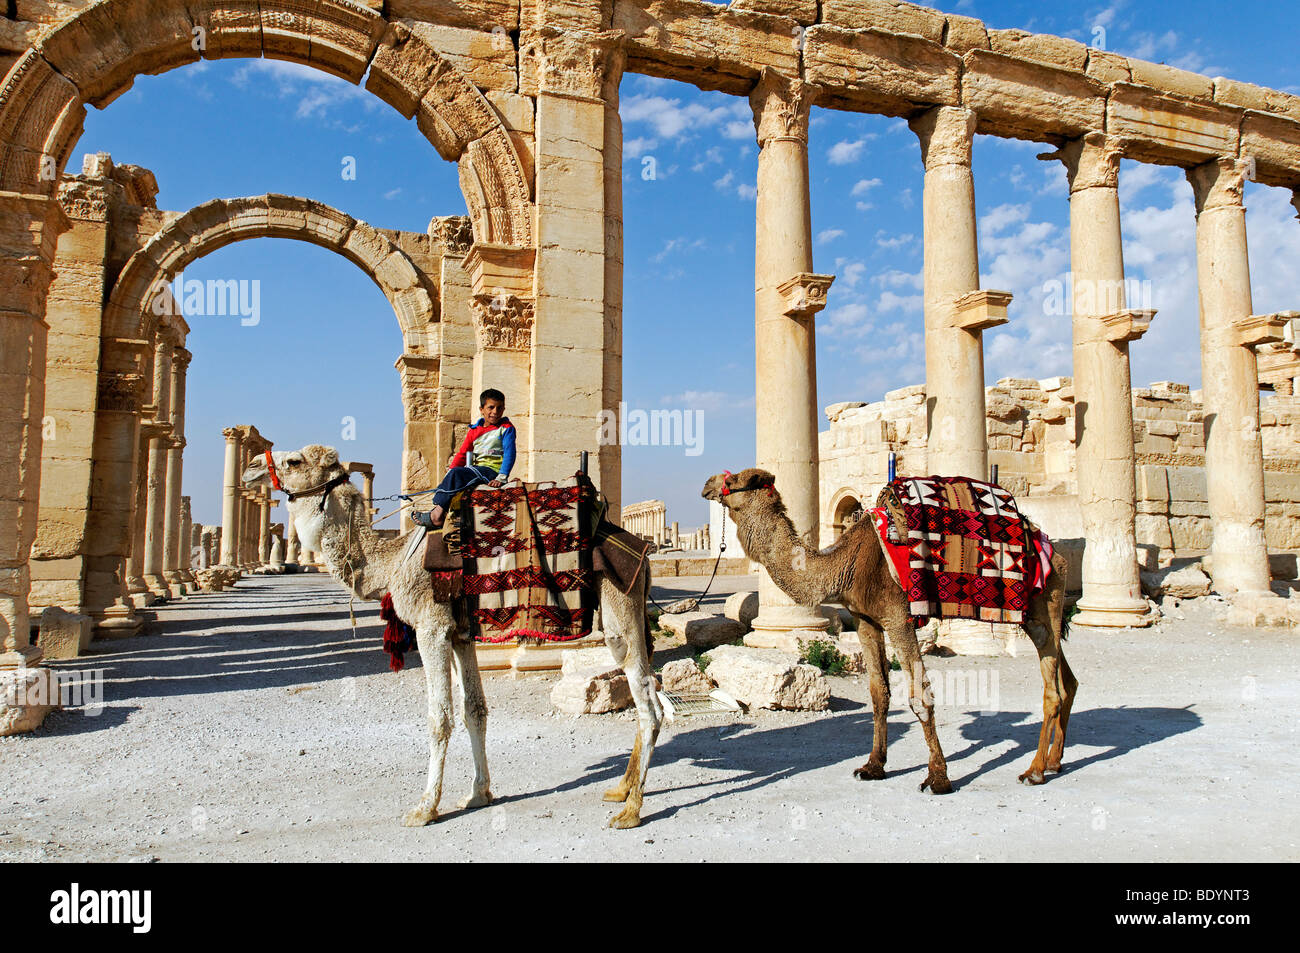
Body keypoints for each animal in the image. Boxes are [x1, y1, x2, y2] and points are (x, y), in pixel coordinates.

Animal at [242, 444, 662, 828]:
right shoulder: (460, 634)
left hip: (619, 603)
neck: (389, 564)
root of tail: (642, 552)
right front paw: (478, 794)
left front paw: (425, 808)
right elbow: (474, 709)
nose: (250, 468)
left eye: (294, 460)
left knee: (649, 704)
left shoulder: (431, 628)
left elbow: (439, 716)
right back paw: (620, 789)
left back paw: (631, 810)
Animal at [702, 468, 1075, 790]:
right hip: (1036, 616)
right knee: (1067, 680)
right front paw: (873, 766)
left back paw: (1034, 771)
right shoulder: (866, 619)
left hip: (1046, 603)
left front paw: (938, 778)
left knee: (1052, 689)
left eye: (733, 481)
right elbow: (878, 693)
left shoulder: (899, 618)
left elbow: (920, 696)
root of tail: (1050, 546)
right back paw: (1055, 762)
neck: (847, 564)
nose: (707, 484)